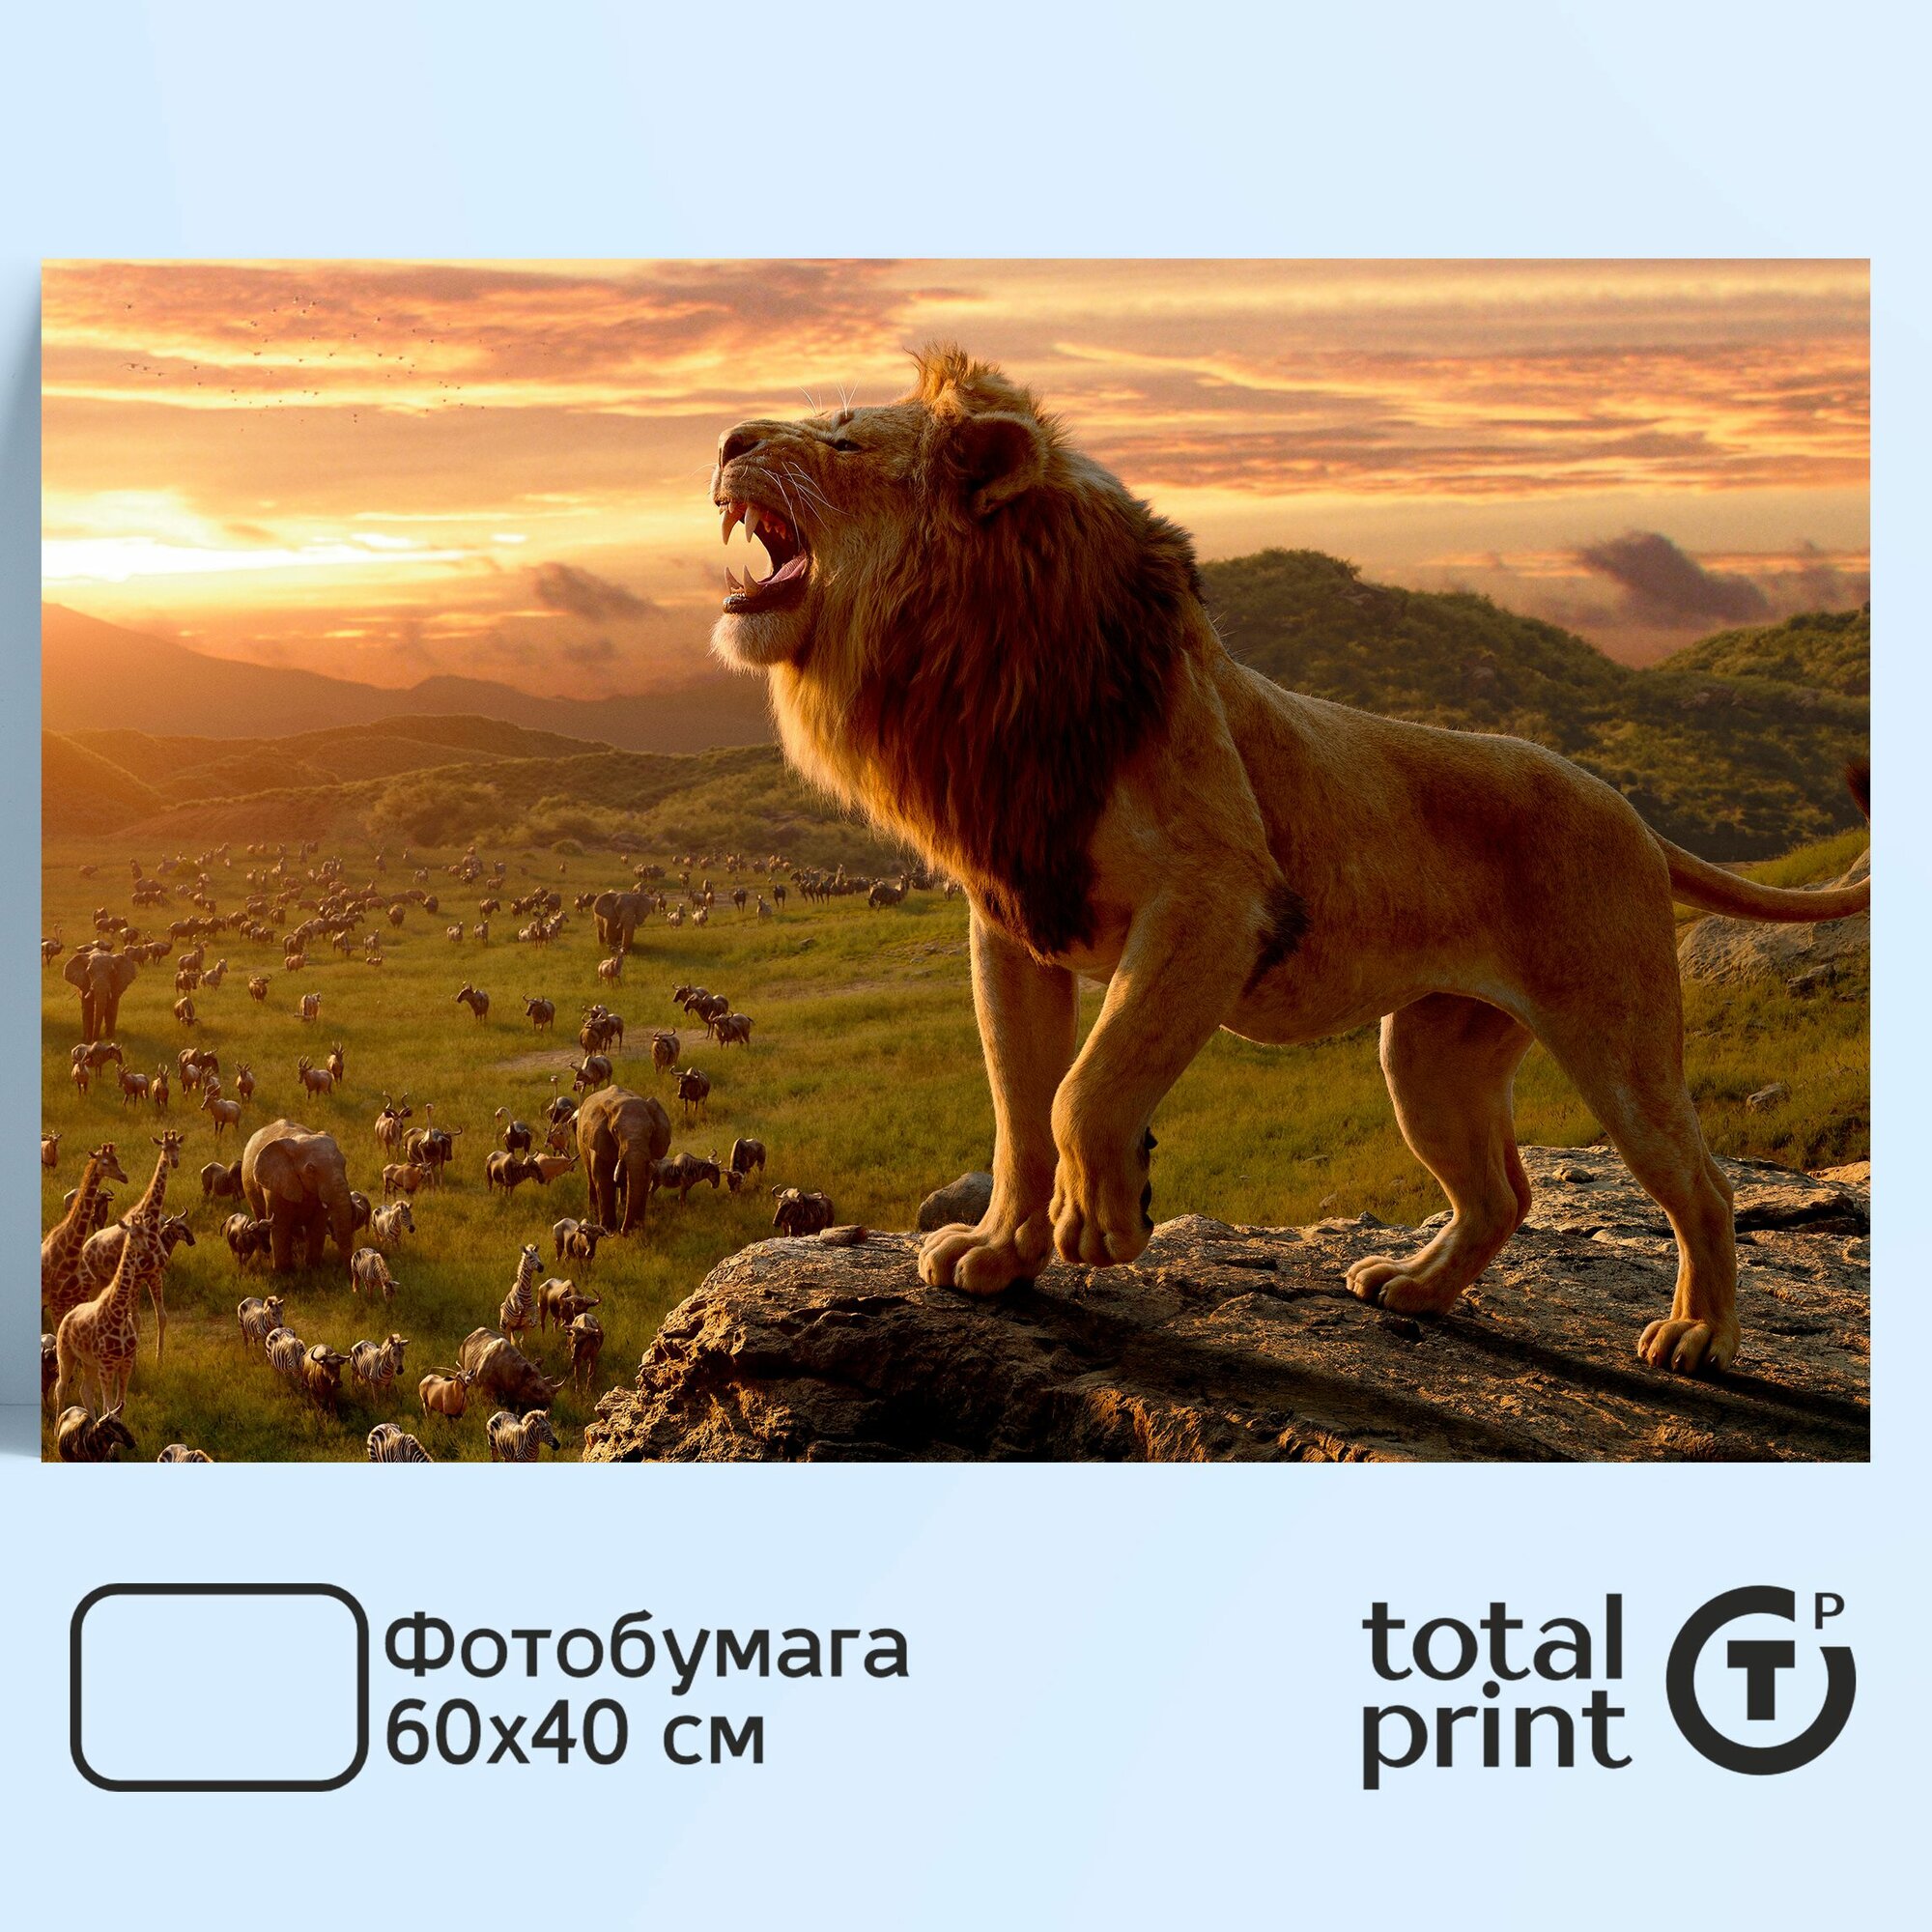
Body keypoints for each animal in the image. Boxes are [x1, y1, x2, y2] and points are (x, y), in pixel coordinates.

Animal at [707, 343, 1870, 1377]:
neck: (978, 674)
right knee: (1502, 1193)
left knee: (1700, 1184)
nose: (725, 439)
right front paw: (999, 1254)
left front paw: (1105, 1219)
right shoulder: (1013, 922)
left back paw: (1698, 1336)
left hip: (1617, 1038)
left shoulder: (1216, 901)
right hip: (1432, 1056)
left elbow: (1084, 1087)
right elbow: (1017, 1112)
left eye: (841, 439)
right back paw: (1413, 1288)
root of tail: (1624, 805)